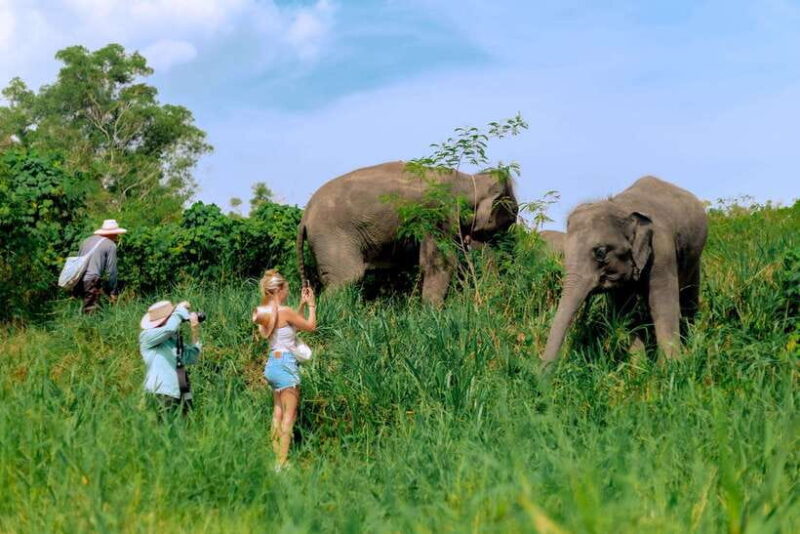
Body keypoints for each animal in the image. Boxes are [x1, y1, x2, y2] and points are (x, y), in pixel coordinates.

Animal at [297, 161, 518, 303]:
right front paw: (432, 315)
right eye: (506, 223)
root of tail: (305, 216)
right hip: (332, 237)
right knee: (345, 279)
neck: (469, 179)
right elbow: (440, 263)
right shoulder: (439, 213)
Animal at [541, 176, 708, 364]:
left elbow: (663, 305)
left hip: (695, 257)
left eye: (600, 252)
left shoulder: (662, 251)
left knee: (688, 298)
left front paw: (671, 366)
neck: (620, 207)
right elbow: (625, 312)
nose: (541, 372)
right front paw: (639, 366)